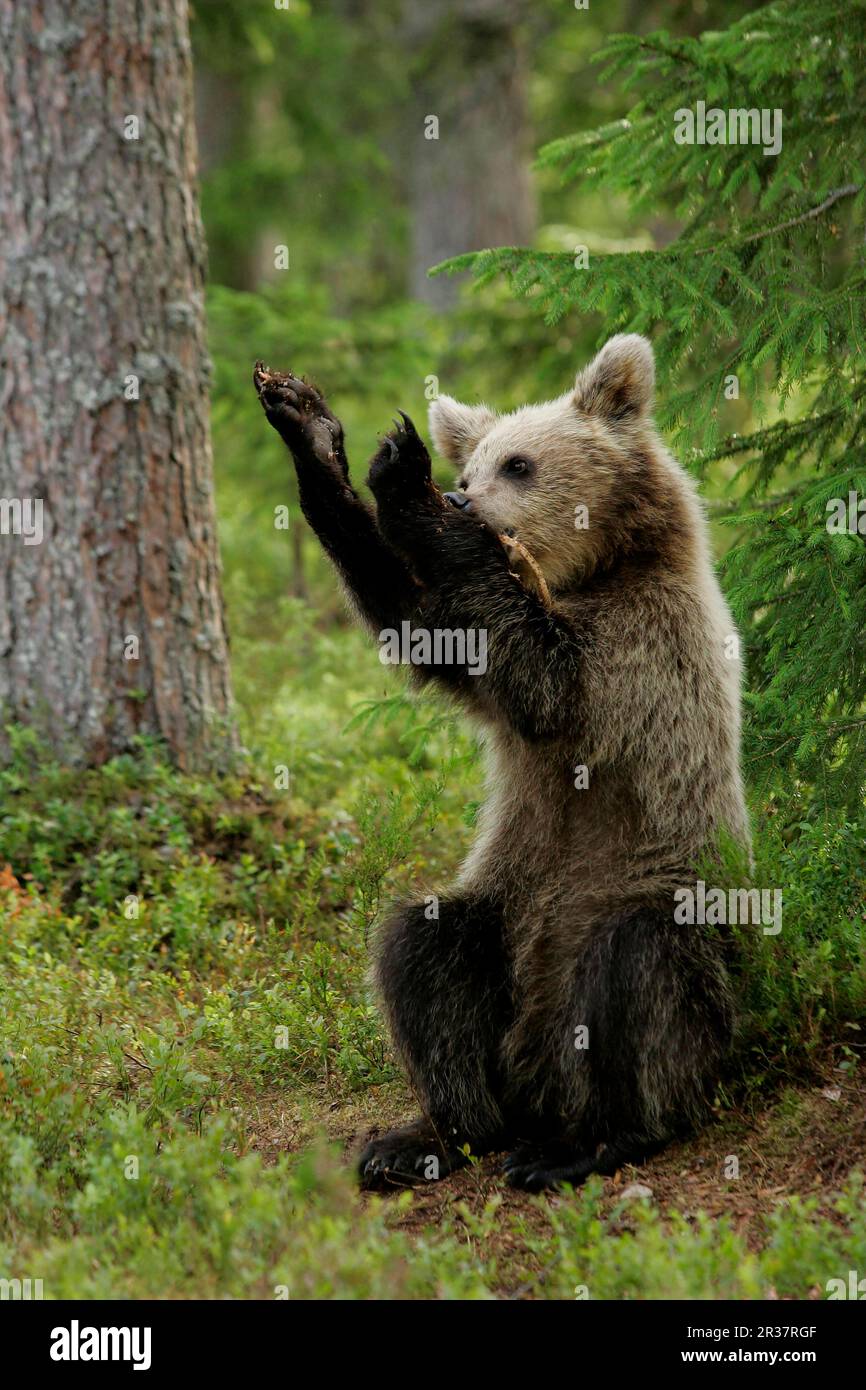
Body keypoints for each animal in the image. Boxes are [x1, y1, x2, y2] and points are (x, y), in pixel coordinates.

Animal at [253, 334, 750, 1192]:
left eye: (518, 464)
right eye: (471, 468)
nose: (460, 499)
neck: (589, 572)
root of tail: (542, 1074)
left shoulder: (636, 651)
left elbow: (546, 685)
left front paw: (404, 483)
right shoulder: (482, 652)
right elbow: (418, 624)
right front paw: (315, 433)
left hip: (666, 904)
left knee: (637, 977)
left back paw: (583, 1144)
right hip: (512, 899)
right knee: (424, 949)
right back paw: (434, 1134)